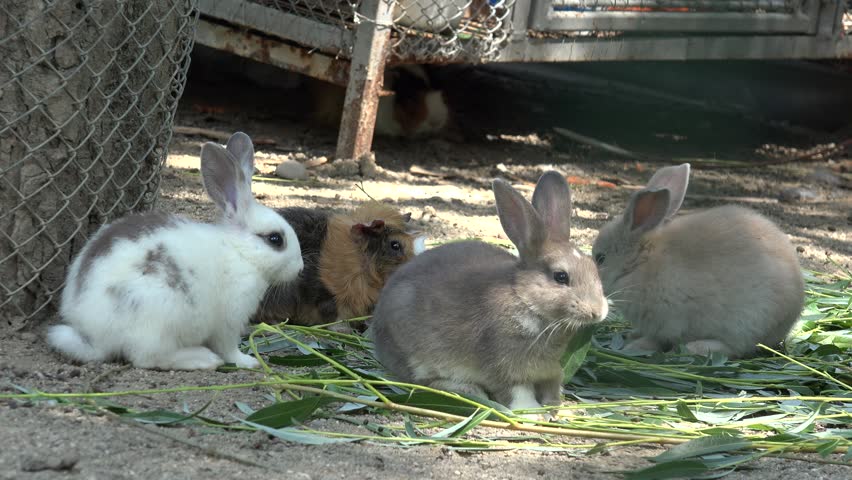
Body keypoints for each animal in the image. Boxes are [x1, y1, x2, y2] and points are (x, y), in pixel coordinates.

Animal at [47, 132, 304, 370]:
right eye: (275, 239)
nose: (300, 269)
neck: (239, 252)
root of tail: (93, 335)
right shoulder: (229, 321)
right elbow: (228, 348)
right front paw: (248, 361)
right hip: (159, 318)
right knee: (147, 358)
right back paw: (202, 359)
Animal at [370, 171, 608, 415]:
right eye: (561, 276)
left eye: (594, 268)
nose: (597, 312)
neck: (524, 298)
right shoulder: (505, 368)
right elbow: (518, 393)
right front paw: (532, 413)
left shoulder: (550, 371)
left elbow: (553, 388)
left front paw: (563, 410)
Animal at [592, 163, 805, 358]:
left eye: (600, 258)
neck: (641, 264)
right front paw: (632, 336)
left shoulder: (670, 321)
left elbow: (658, 340)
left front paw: (635, 346)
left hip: (747, 322)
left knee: (735, 348)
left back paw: (696, 348)